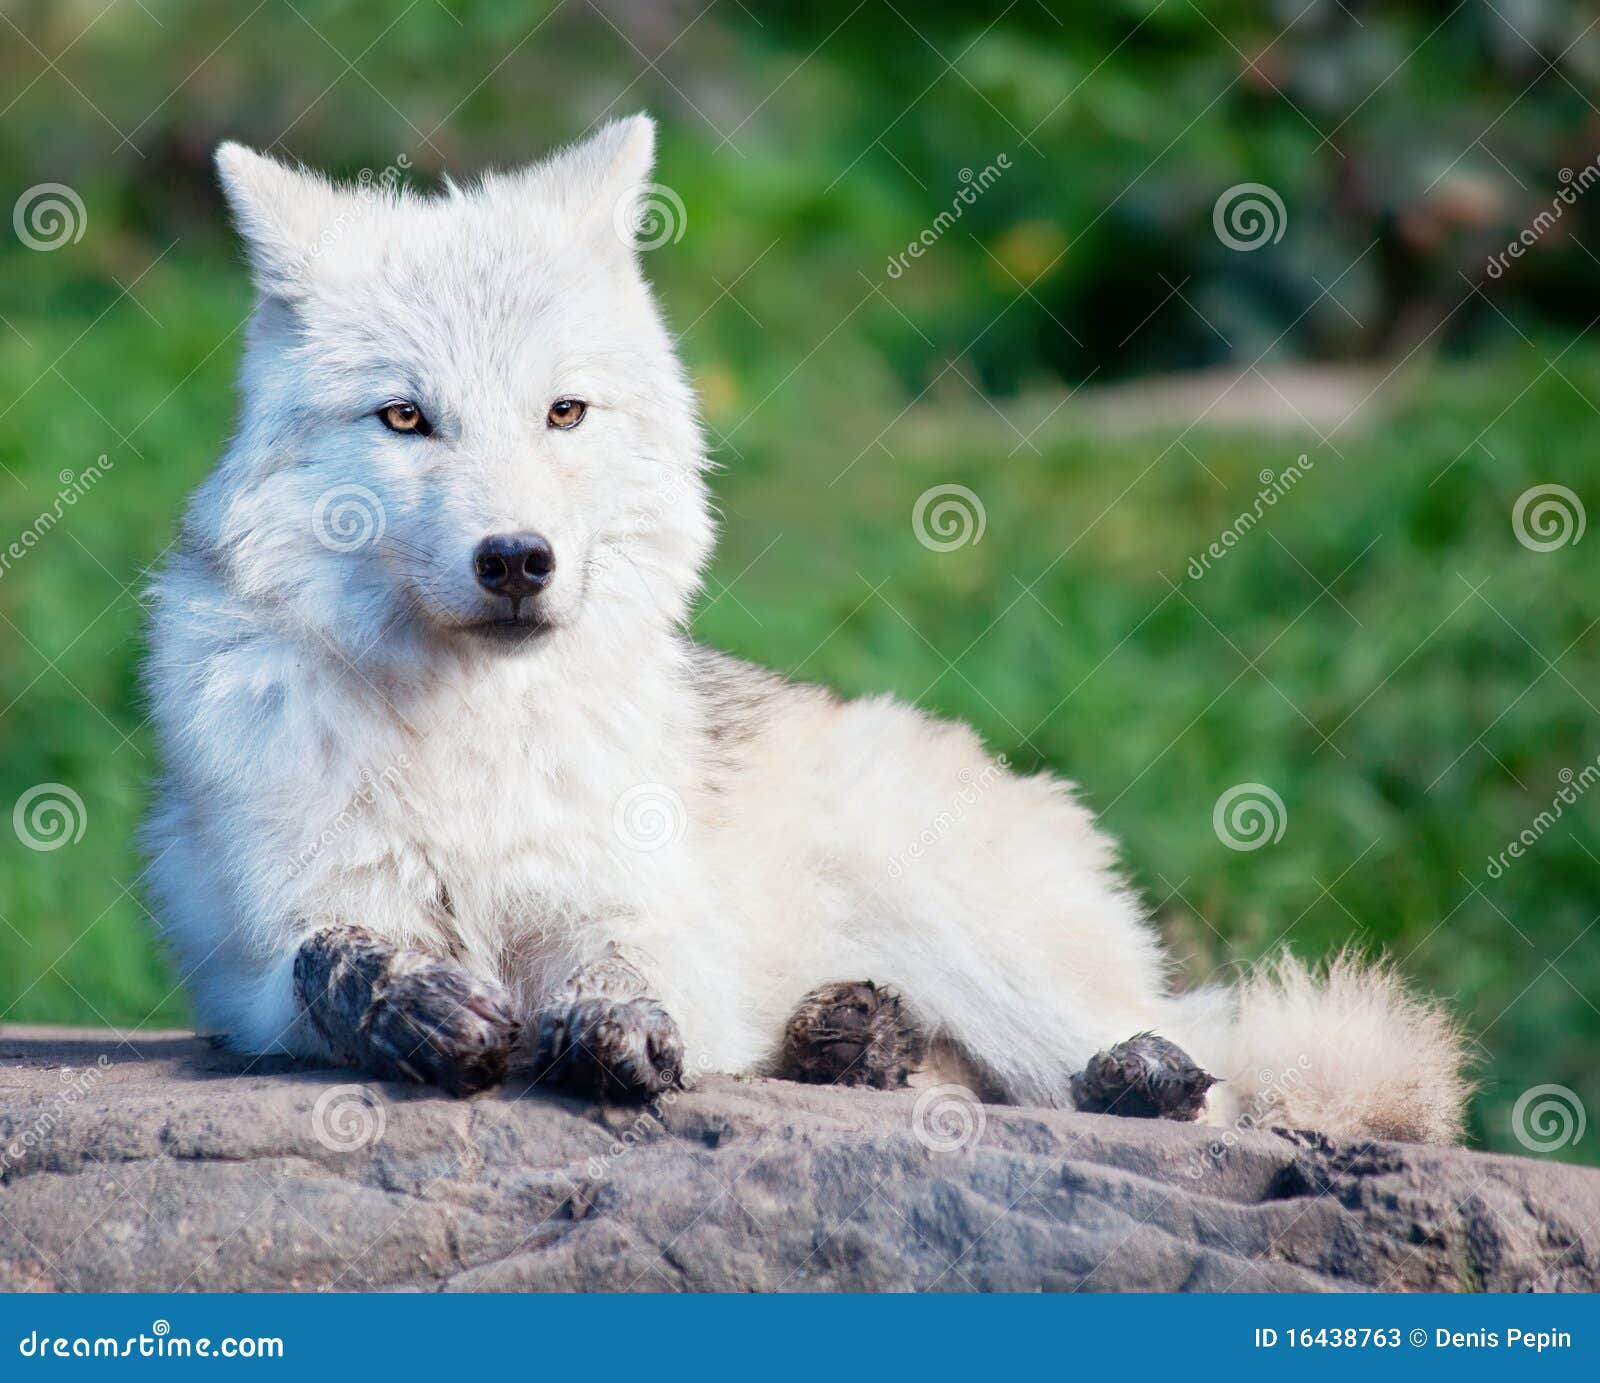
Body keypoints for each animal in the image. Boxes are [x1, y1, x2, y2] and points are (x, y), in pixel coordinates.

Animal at [144, 117, 1468, 1142]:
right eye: (405, 418)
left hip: (957, 915)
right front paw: (420, 1007)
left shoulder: (634, 912)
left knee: (1182, 1078)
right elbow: (337, 957)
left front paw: (609, 1026)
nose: (517, 561)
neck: (473, 739)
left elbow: (615, 963)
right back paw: (856, 1042)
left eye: (563, 411)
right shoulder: (255, 973)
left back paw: (1118, 1075)